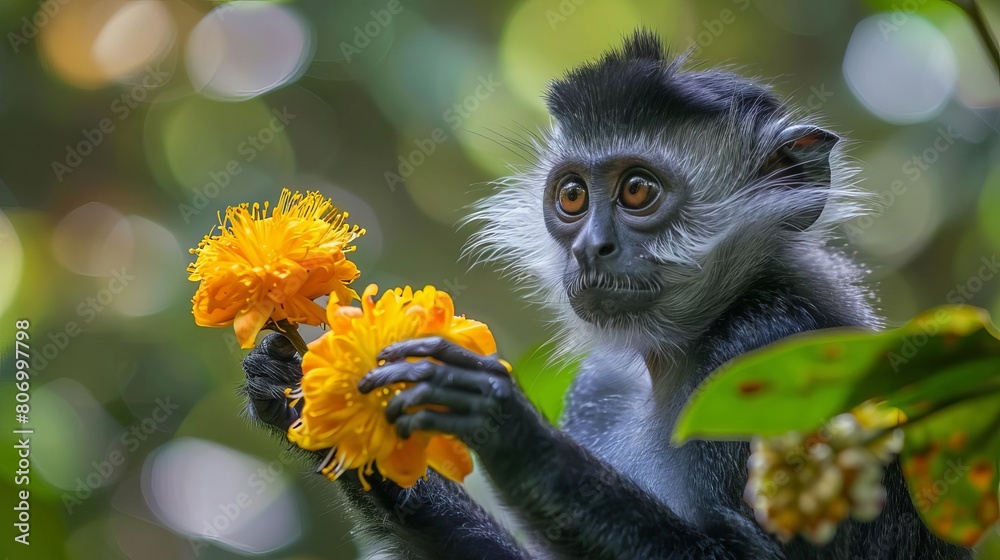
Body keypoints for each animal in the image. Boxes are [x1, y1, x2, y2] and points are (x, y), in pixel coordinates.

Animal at [242, 30, 975, 560]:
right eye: (572, 196)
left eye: (637, 191)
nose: (590, 247)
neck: (679, 358)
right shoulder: (600, 390)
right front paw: (299, 392)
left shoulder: (768, 341)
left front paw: (506, 426)